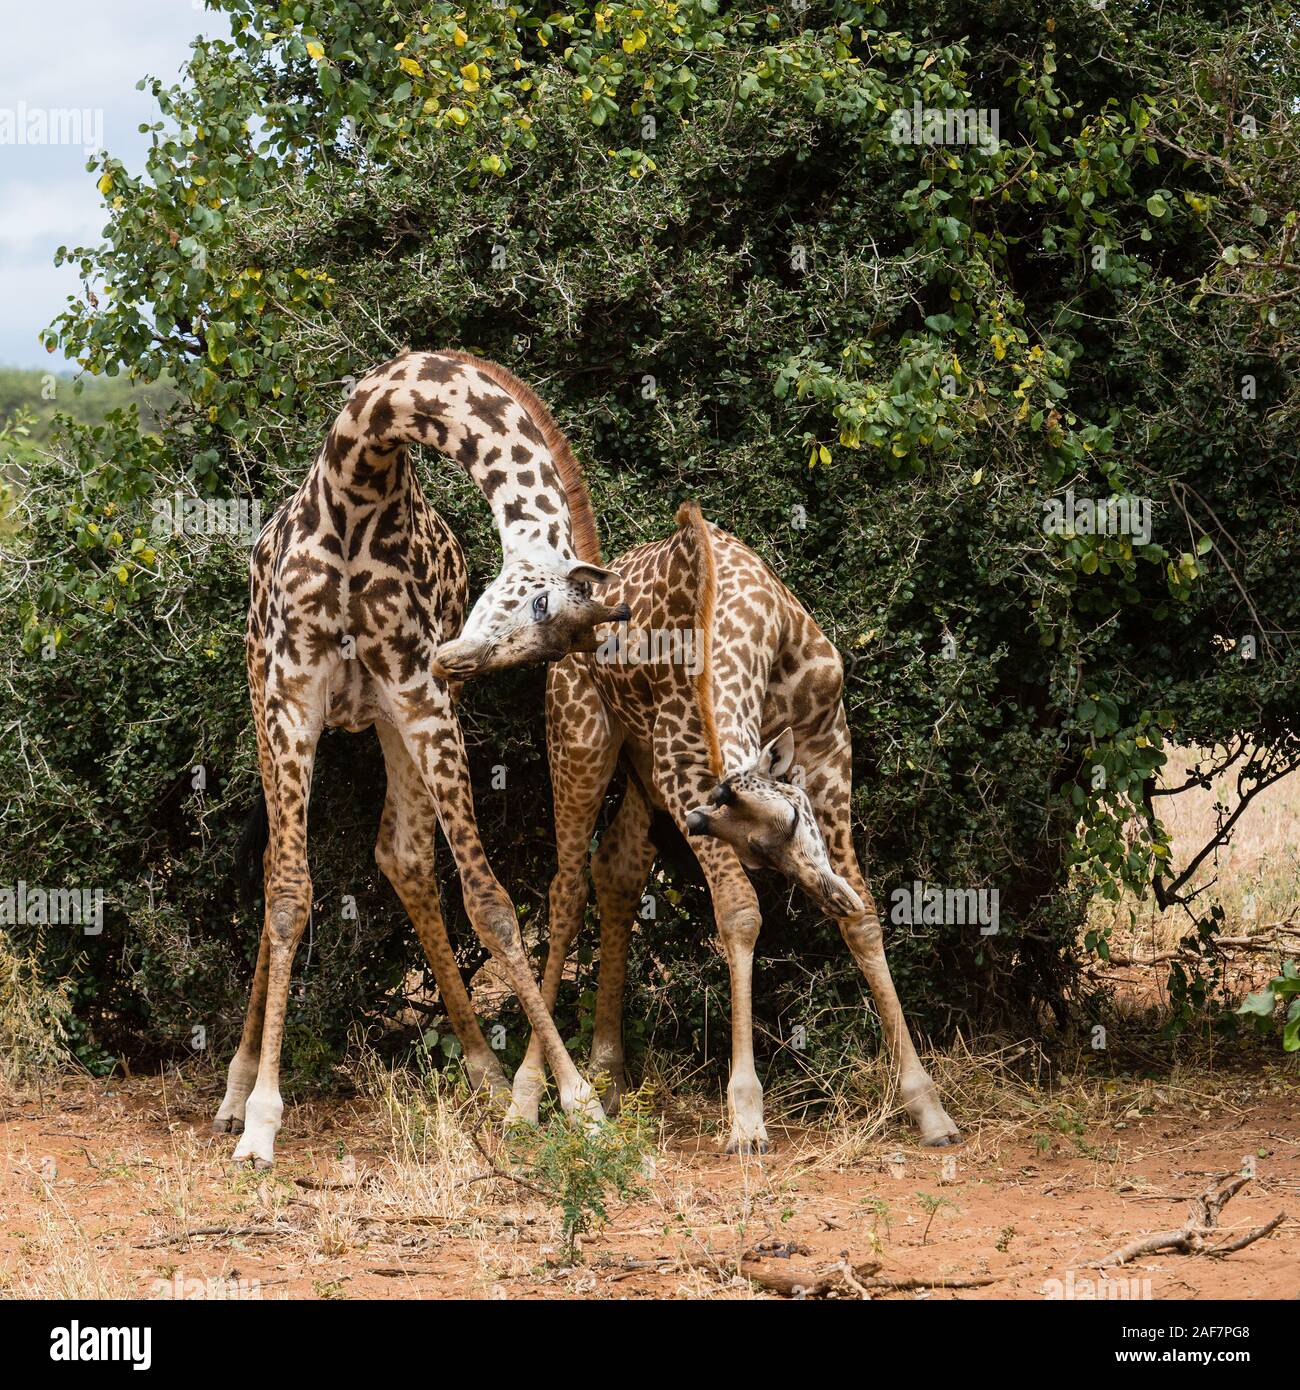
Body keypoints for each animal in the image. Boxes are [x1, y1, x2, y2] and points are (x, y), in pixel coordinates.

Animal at [213, 349, 629, 1168]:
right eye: (539, 607)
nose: (455, 661)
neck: (359, 479)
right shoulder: (291, 698)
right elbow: (289, 895)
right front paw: (261, 1121)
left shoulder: (419, 699)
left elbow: (491, 903)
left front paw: (576, 1101)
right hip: (261, 698)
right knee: (281, 863)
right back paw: (235, 1088)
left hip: (396, 721)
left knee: (403, 854)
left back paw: (484, 1069)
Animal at [508, 502, 960, 1153]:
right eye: (757, 855)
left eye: (796, 818)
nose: (829, 896)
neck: (743, 621)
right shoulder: (684, 768)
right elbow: (741, 914)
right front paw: (746, 1116)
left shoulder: (827, 743)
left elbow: (866, 917)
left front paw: (929, 1108)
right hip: (580, 741)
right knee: (566, 893)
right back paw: (530, 1098)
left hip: (637, 770)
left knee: (617, 869)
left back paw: (609, 1078)